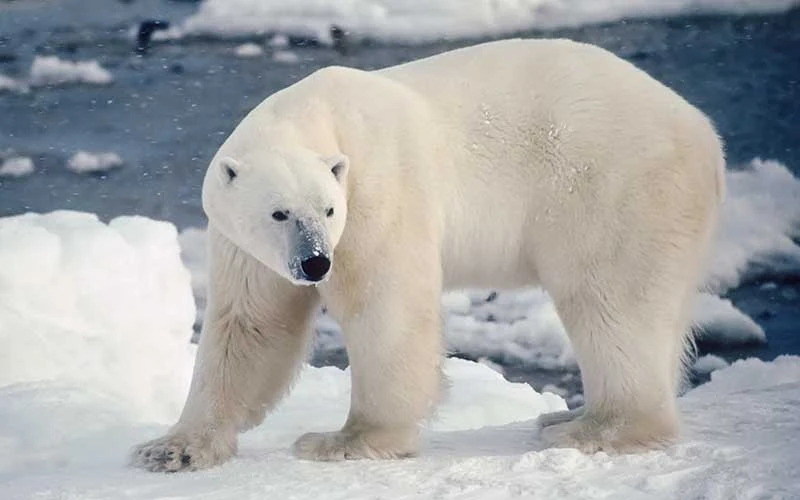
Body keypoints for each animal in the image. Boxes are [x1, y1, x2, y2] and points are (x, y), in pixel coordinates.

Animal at [130, 38, 725, 472]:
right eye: (279, 213)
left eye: (328, 209)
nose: (316, 263)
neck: (319, 113)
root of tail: (704, 132)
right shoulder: (243, 243)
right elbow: (251, 324)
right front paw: (172, 447)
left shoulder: (378, 190)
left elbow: (385, 305)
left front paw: (346, 439)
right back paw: (568, 417)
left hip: (611, 184)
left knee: (611, 300)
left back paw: (592, 426)